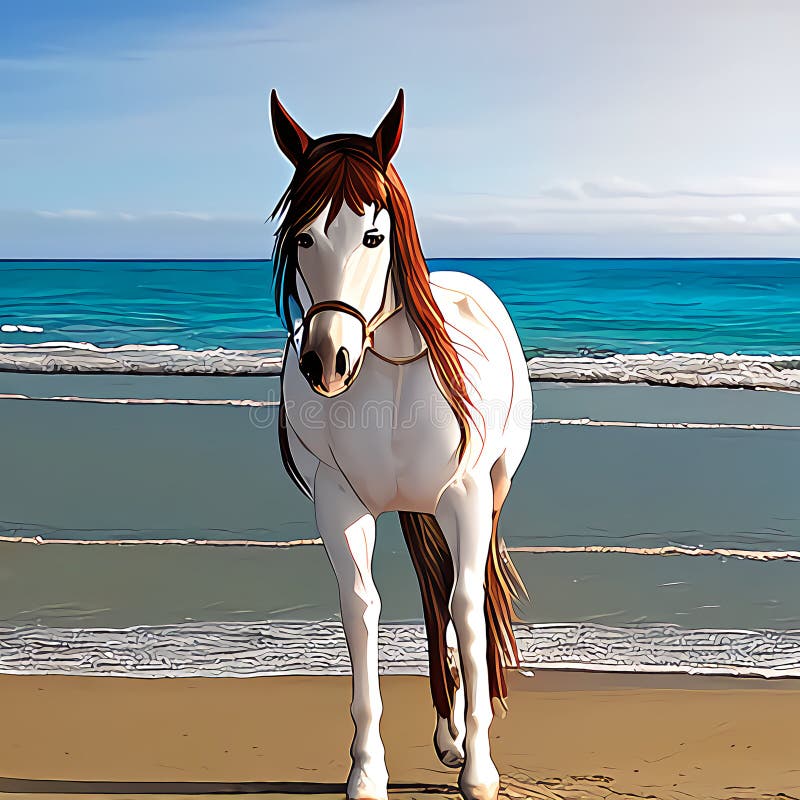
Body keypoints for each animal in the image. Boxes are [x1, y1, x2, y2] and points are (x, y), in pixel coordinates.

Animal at [269, 88, 532, 800]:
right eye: (301, 235)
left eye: (373, 234)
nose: (327, 362)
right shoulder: (339, 503)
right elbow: (362, 609)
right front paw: (366, 771)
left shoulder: (466, 495)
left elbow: (467, 605)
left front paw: (480, 770)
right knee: (428, 587)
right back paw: (446, 732)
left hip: (491, 487)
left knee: (460, 592)